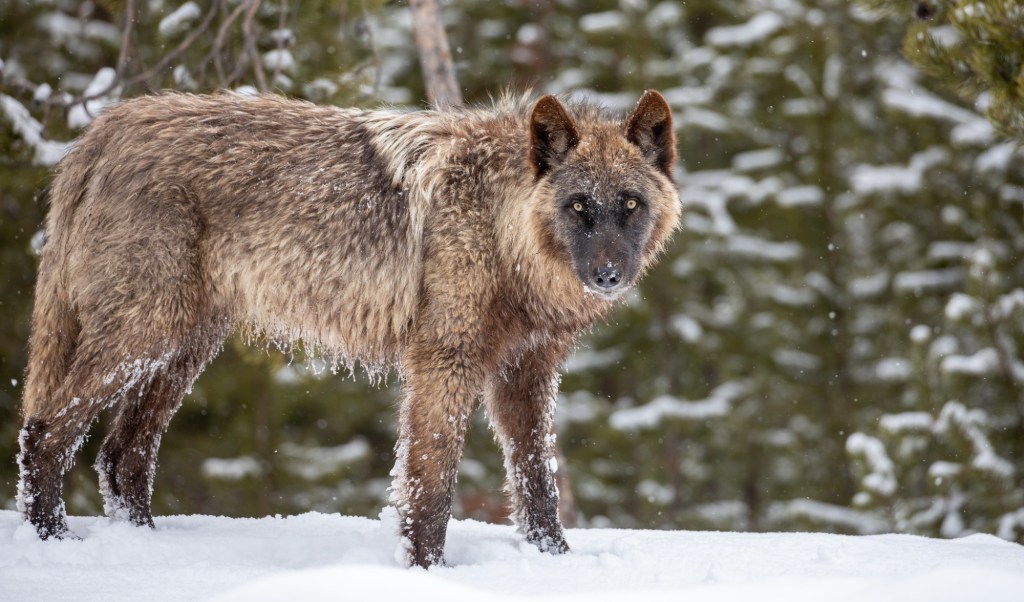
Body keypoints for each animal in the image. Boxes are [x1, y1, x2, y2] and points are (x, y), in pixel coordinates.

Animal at [17, 89, 680, 566]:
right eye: (578, 206)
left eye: (629, 205)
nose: (608, 275)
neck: (501, 227)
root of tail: (103, 130)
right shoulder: (445, 363)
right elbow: (430, 485)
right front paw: (426, 572)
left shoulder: (527, 374)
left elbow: (538, 483)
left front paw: (555, 565)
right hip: (145, 338)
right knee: (46, 432)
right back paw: (56, 545)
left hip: (181, 349)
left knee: (120, 455)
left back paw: (147, 549)